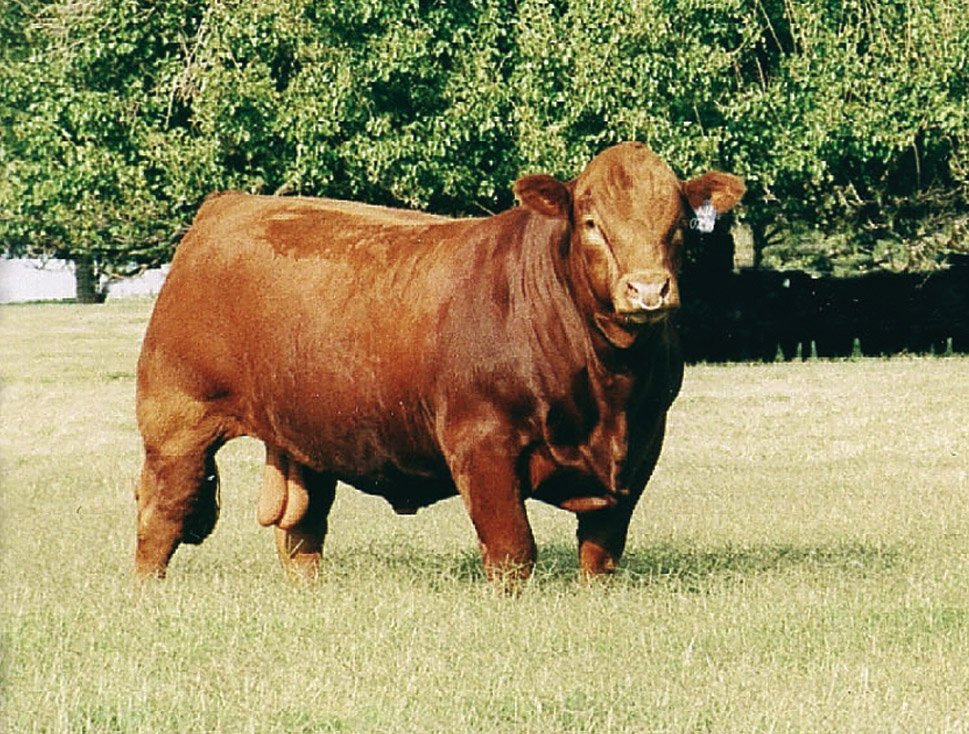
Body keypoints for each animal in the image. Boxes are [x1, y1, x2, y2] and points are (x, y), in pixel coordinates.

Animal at [134, 142, 744, 587]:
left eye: (679, 223)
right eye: (592, 223)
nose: (648, 289)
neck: (606, 390)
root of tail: (230, 204)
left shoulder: (641, 447)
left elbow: (602, 552)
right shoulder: (481, 442)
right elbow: (511, 549)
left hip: (304, 434)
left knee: (301, 530)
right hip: (176, 423)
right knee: (160, 514)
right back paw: (148, 594)